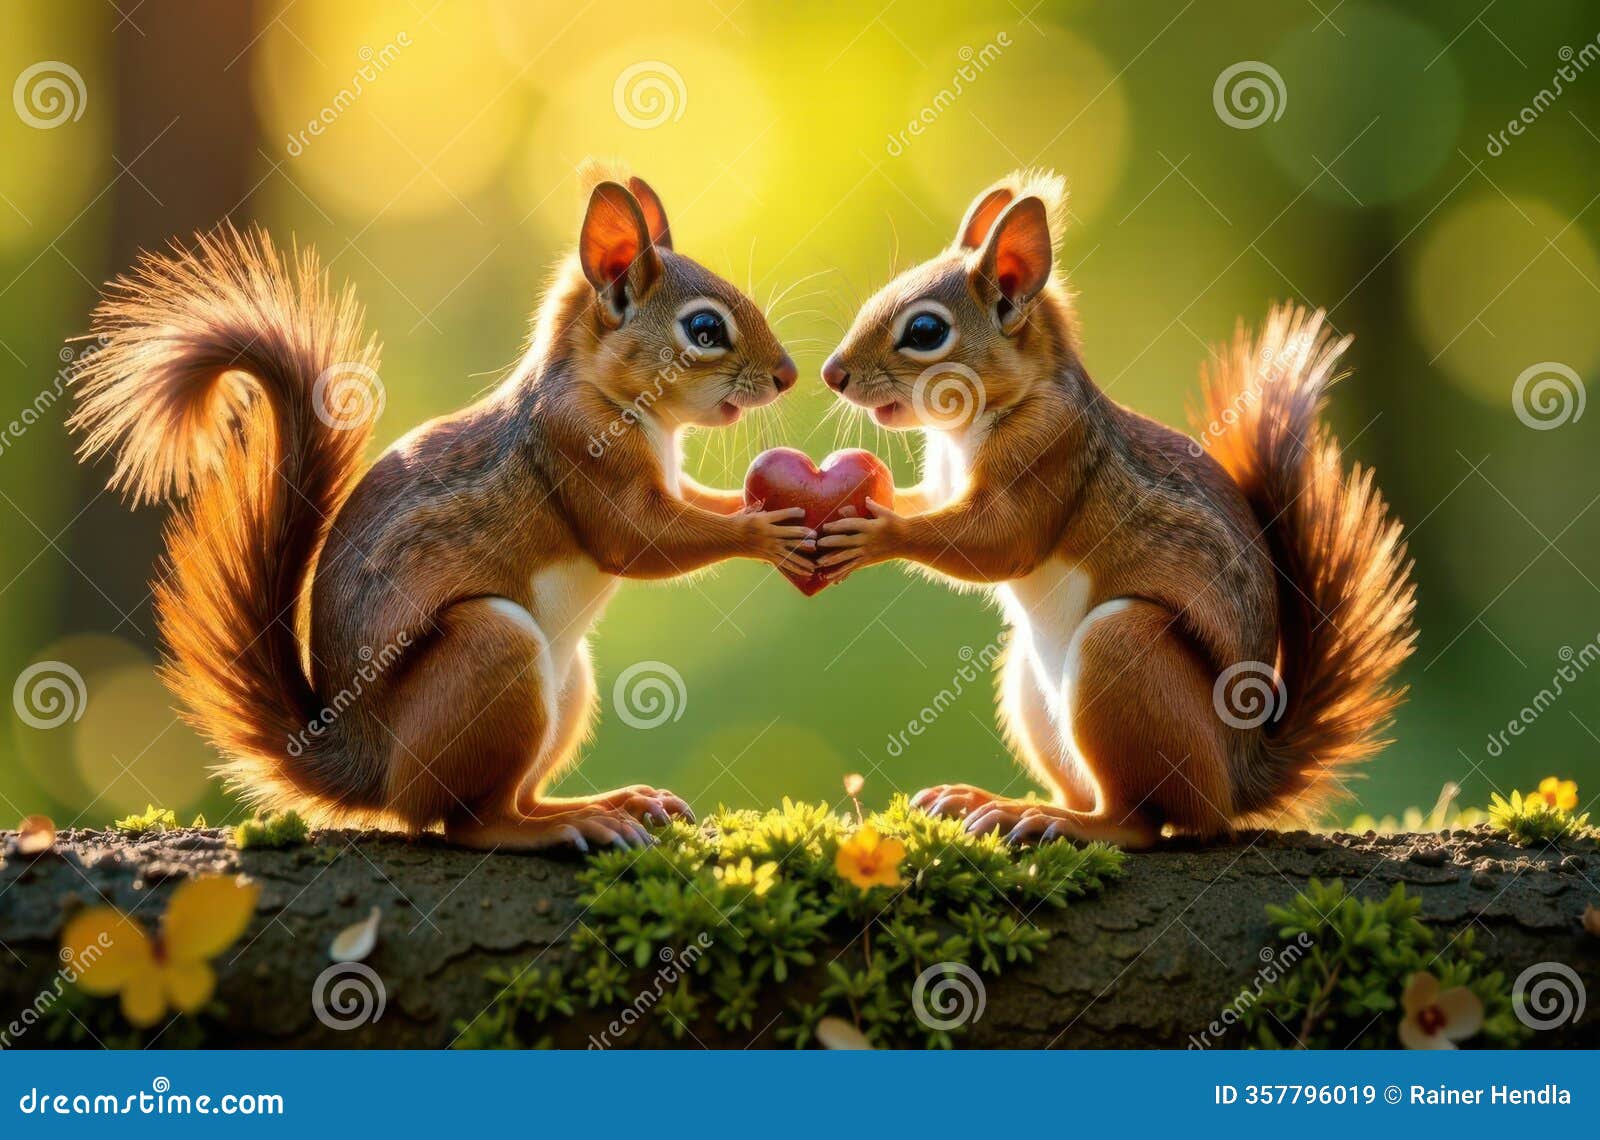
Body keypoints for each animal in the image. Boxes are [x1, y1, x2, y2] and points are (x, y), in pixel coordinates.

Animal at [69, 166, 814, 851]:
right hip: (494, 649)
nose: (787, 375)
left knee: (512, 797)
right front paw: (765, 530)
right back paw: (567, 826)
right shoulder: (580, 450)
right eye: (705, 328)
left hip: (568, 689)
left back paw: (609, 803)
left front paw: (764, 501)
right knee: (469, 823)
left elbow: (691, 507)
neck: (615, 397)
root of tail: (366, 765)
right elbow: (642, 540)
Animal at [816, 169, 1416, 849]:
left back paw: (1058, 821)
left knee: (1141, 820)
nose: (832, 374)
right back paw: (994, 800)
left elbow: (996, 544)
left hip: (1122, 653)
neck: (975, 421)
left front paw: (875, 531)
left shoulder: (1052, 453)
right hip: (1028, 690)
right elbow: (935, 507)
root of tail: (1237, 780)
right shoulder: (947, 479)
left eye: (924, 332)